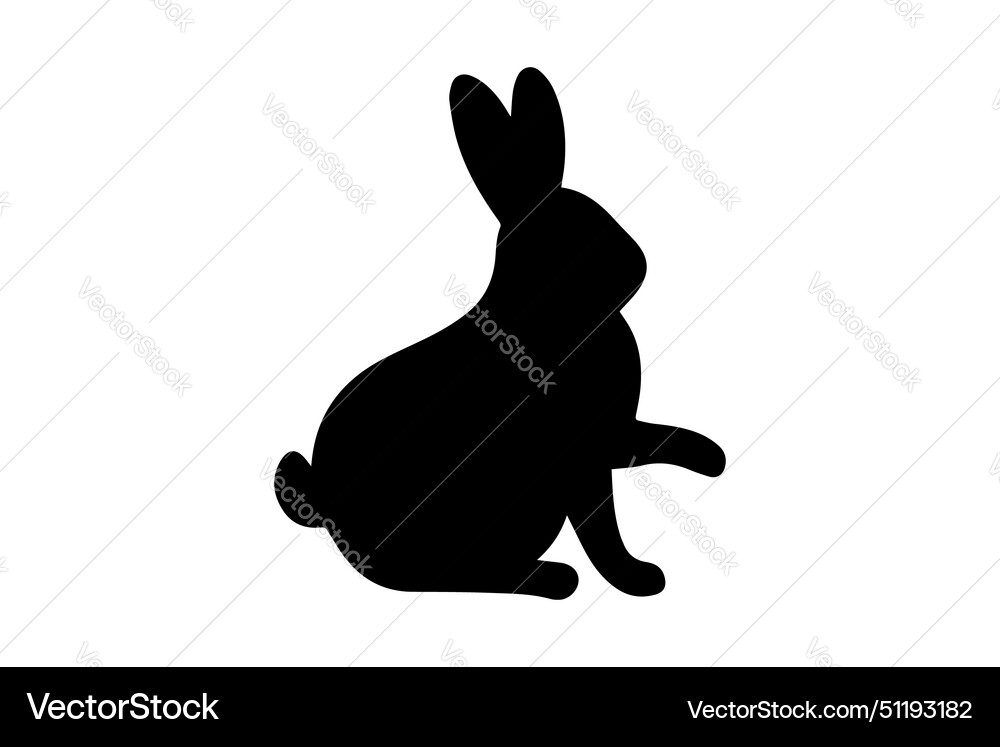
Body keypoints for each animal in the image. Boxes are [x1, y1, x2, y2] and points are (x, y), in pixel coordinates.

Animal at [274, 67, 725, 599]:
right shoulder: (585, 454)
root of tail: (324, 512)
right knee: (441, 576)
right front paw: (639, 578)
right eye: (564, 238)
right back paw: (554, 579)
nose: (637, 265)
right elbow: (602, 524)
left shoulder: (614, 437)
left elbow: (652, 441)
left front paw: (712, 458)